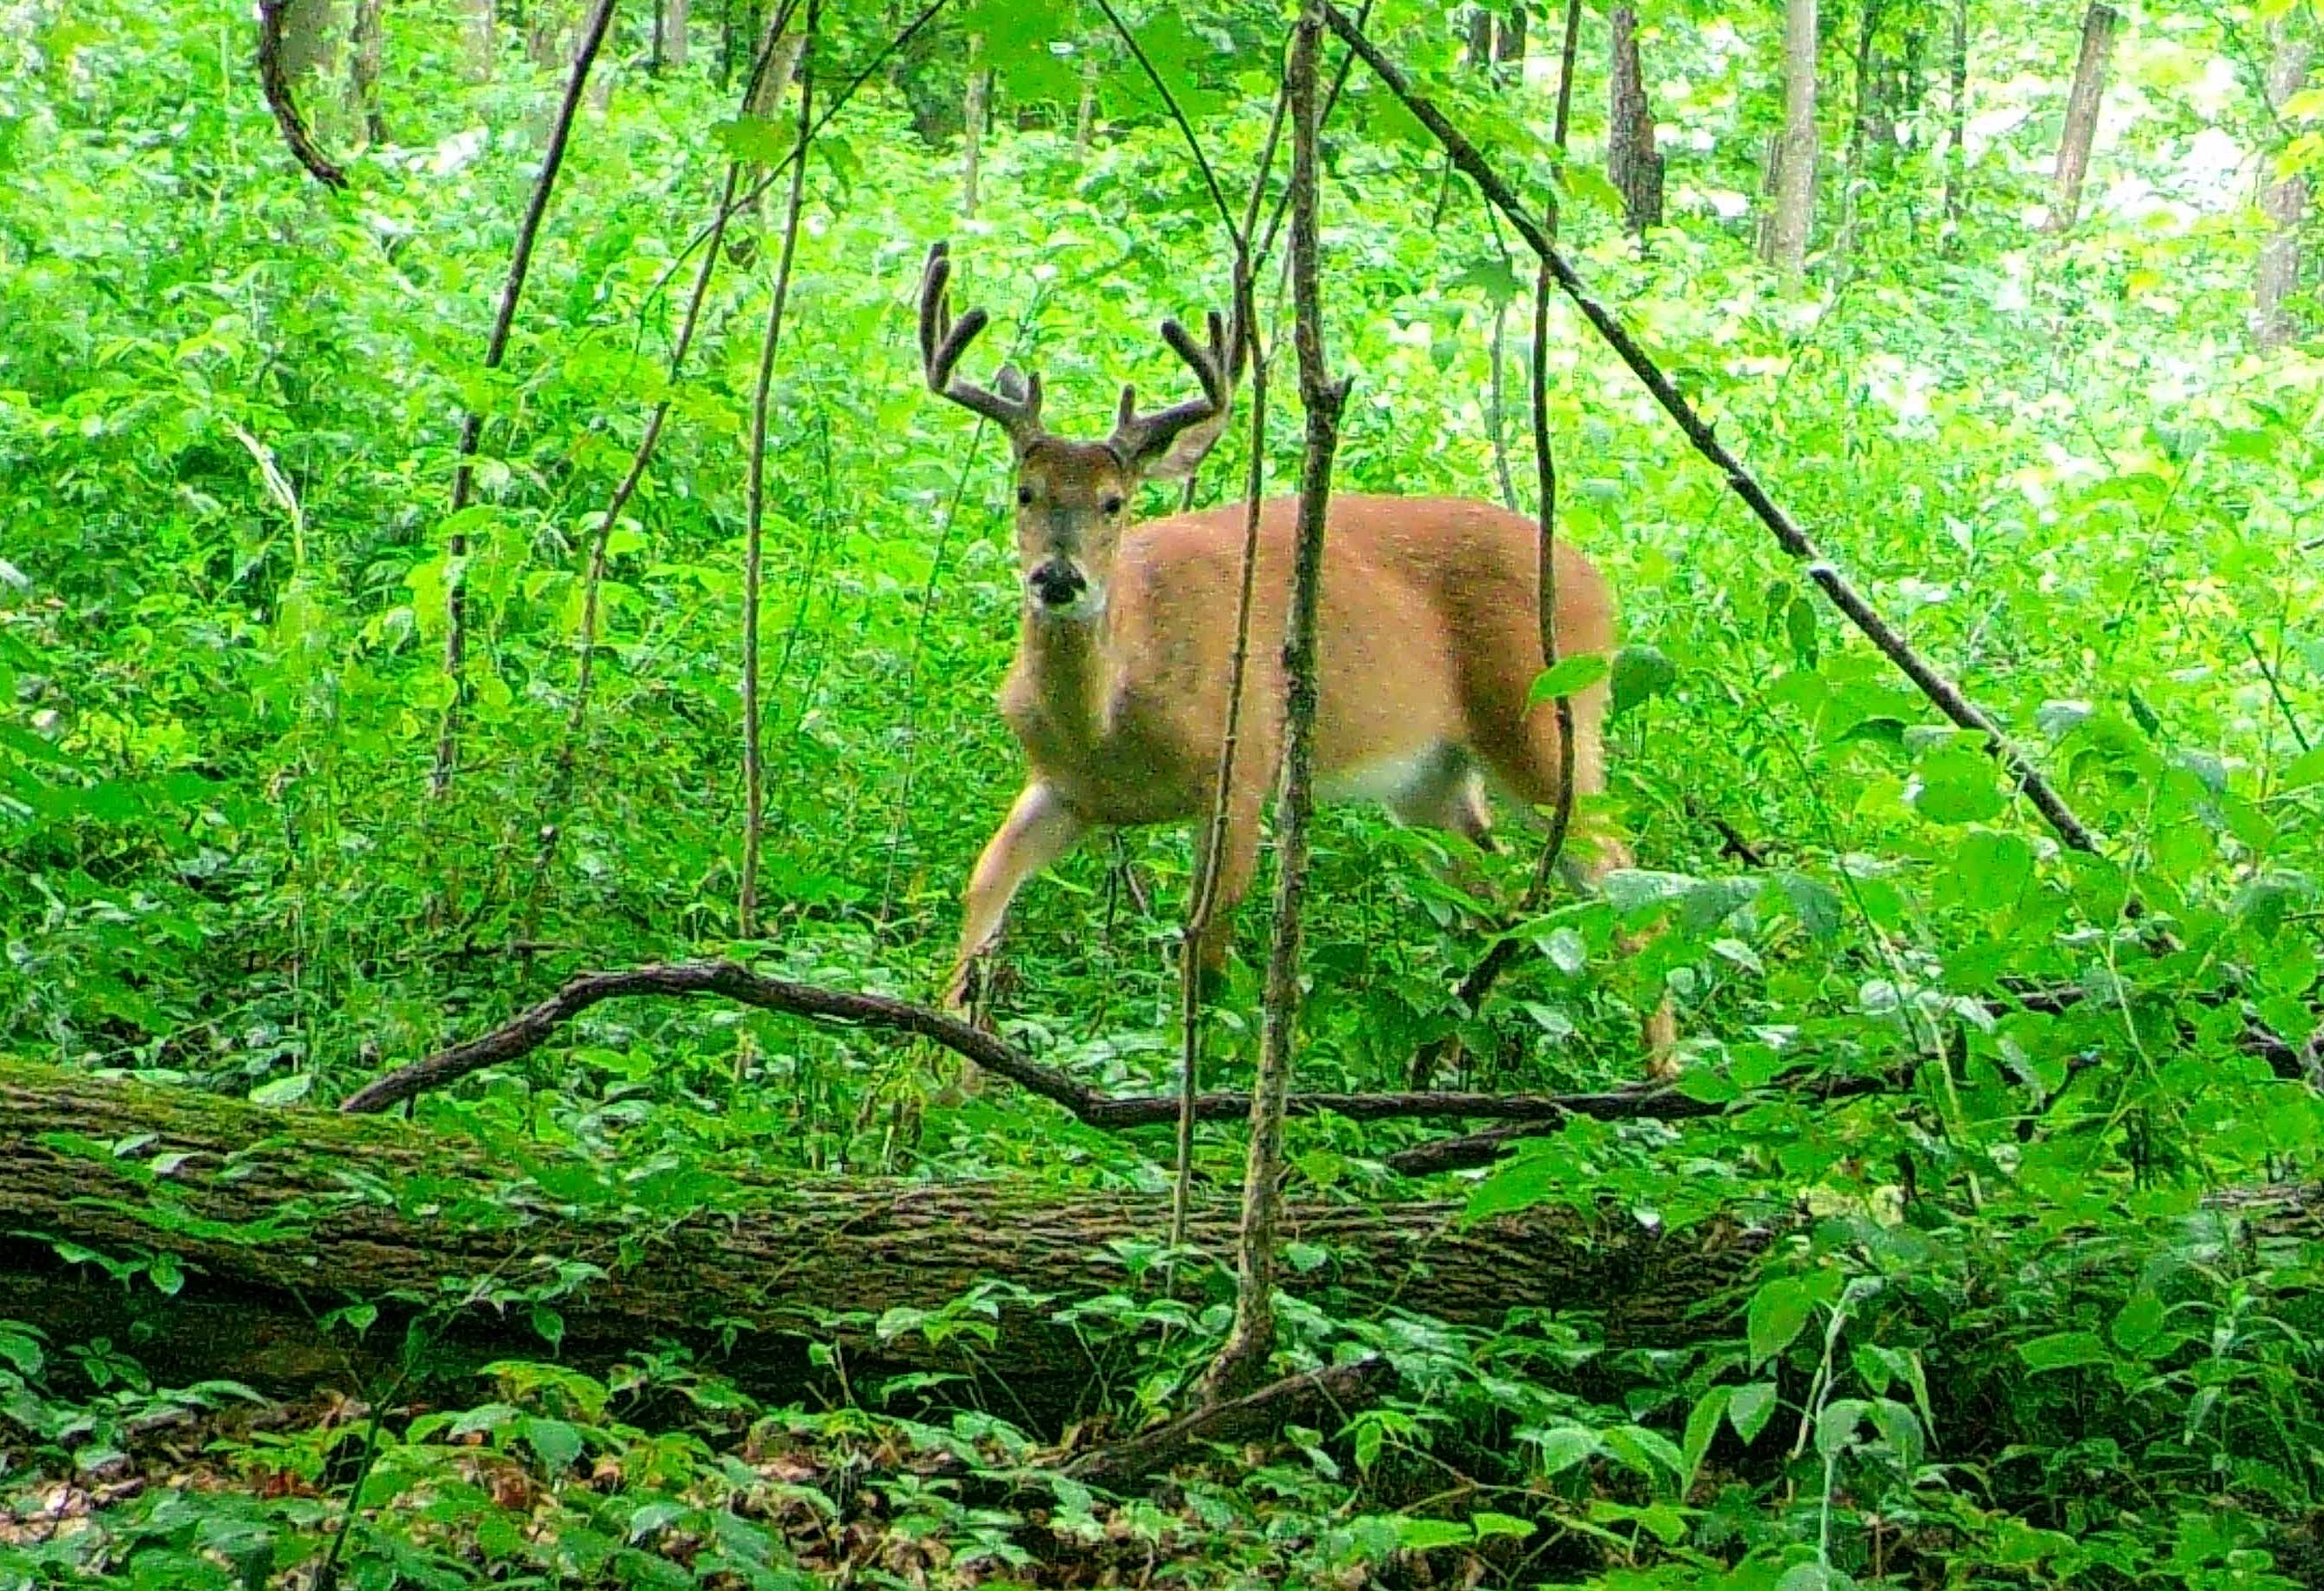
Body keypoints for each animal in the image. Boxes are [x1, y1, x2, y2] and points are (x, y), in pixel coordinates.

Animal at [916, 241, 1678, 1080]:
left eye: (1114, 502)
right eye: (1024, 491)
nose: (1058, 577)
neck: (1112, 714)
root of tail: (1597, 586)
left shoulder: (1241, 766)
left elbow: (1205, 947)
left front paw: (1198, 1078)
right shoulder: (1063, 789)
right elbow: (982, 891)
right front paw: (941, 1074)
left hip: (1543, 719)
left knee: (1621, 876)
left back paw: (1662, 1076)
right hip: (1429, 776)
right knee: (1483, 895)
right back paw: (1438, 1061)